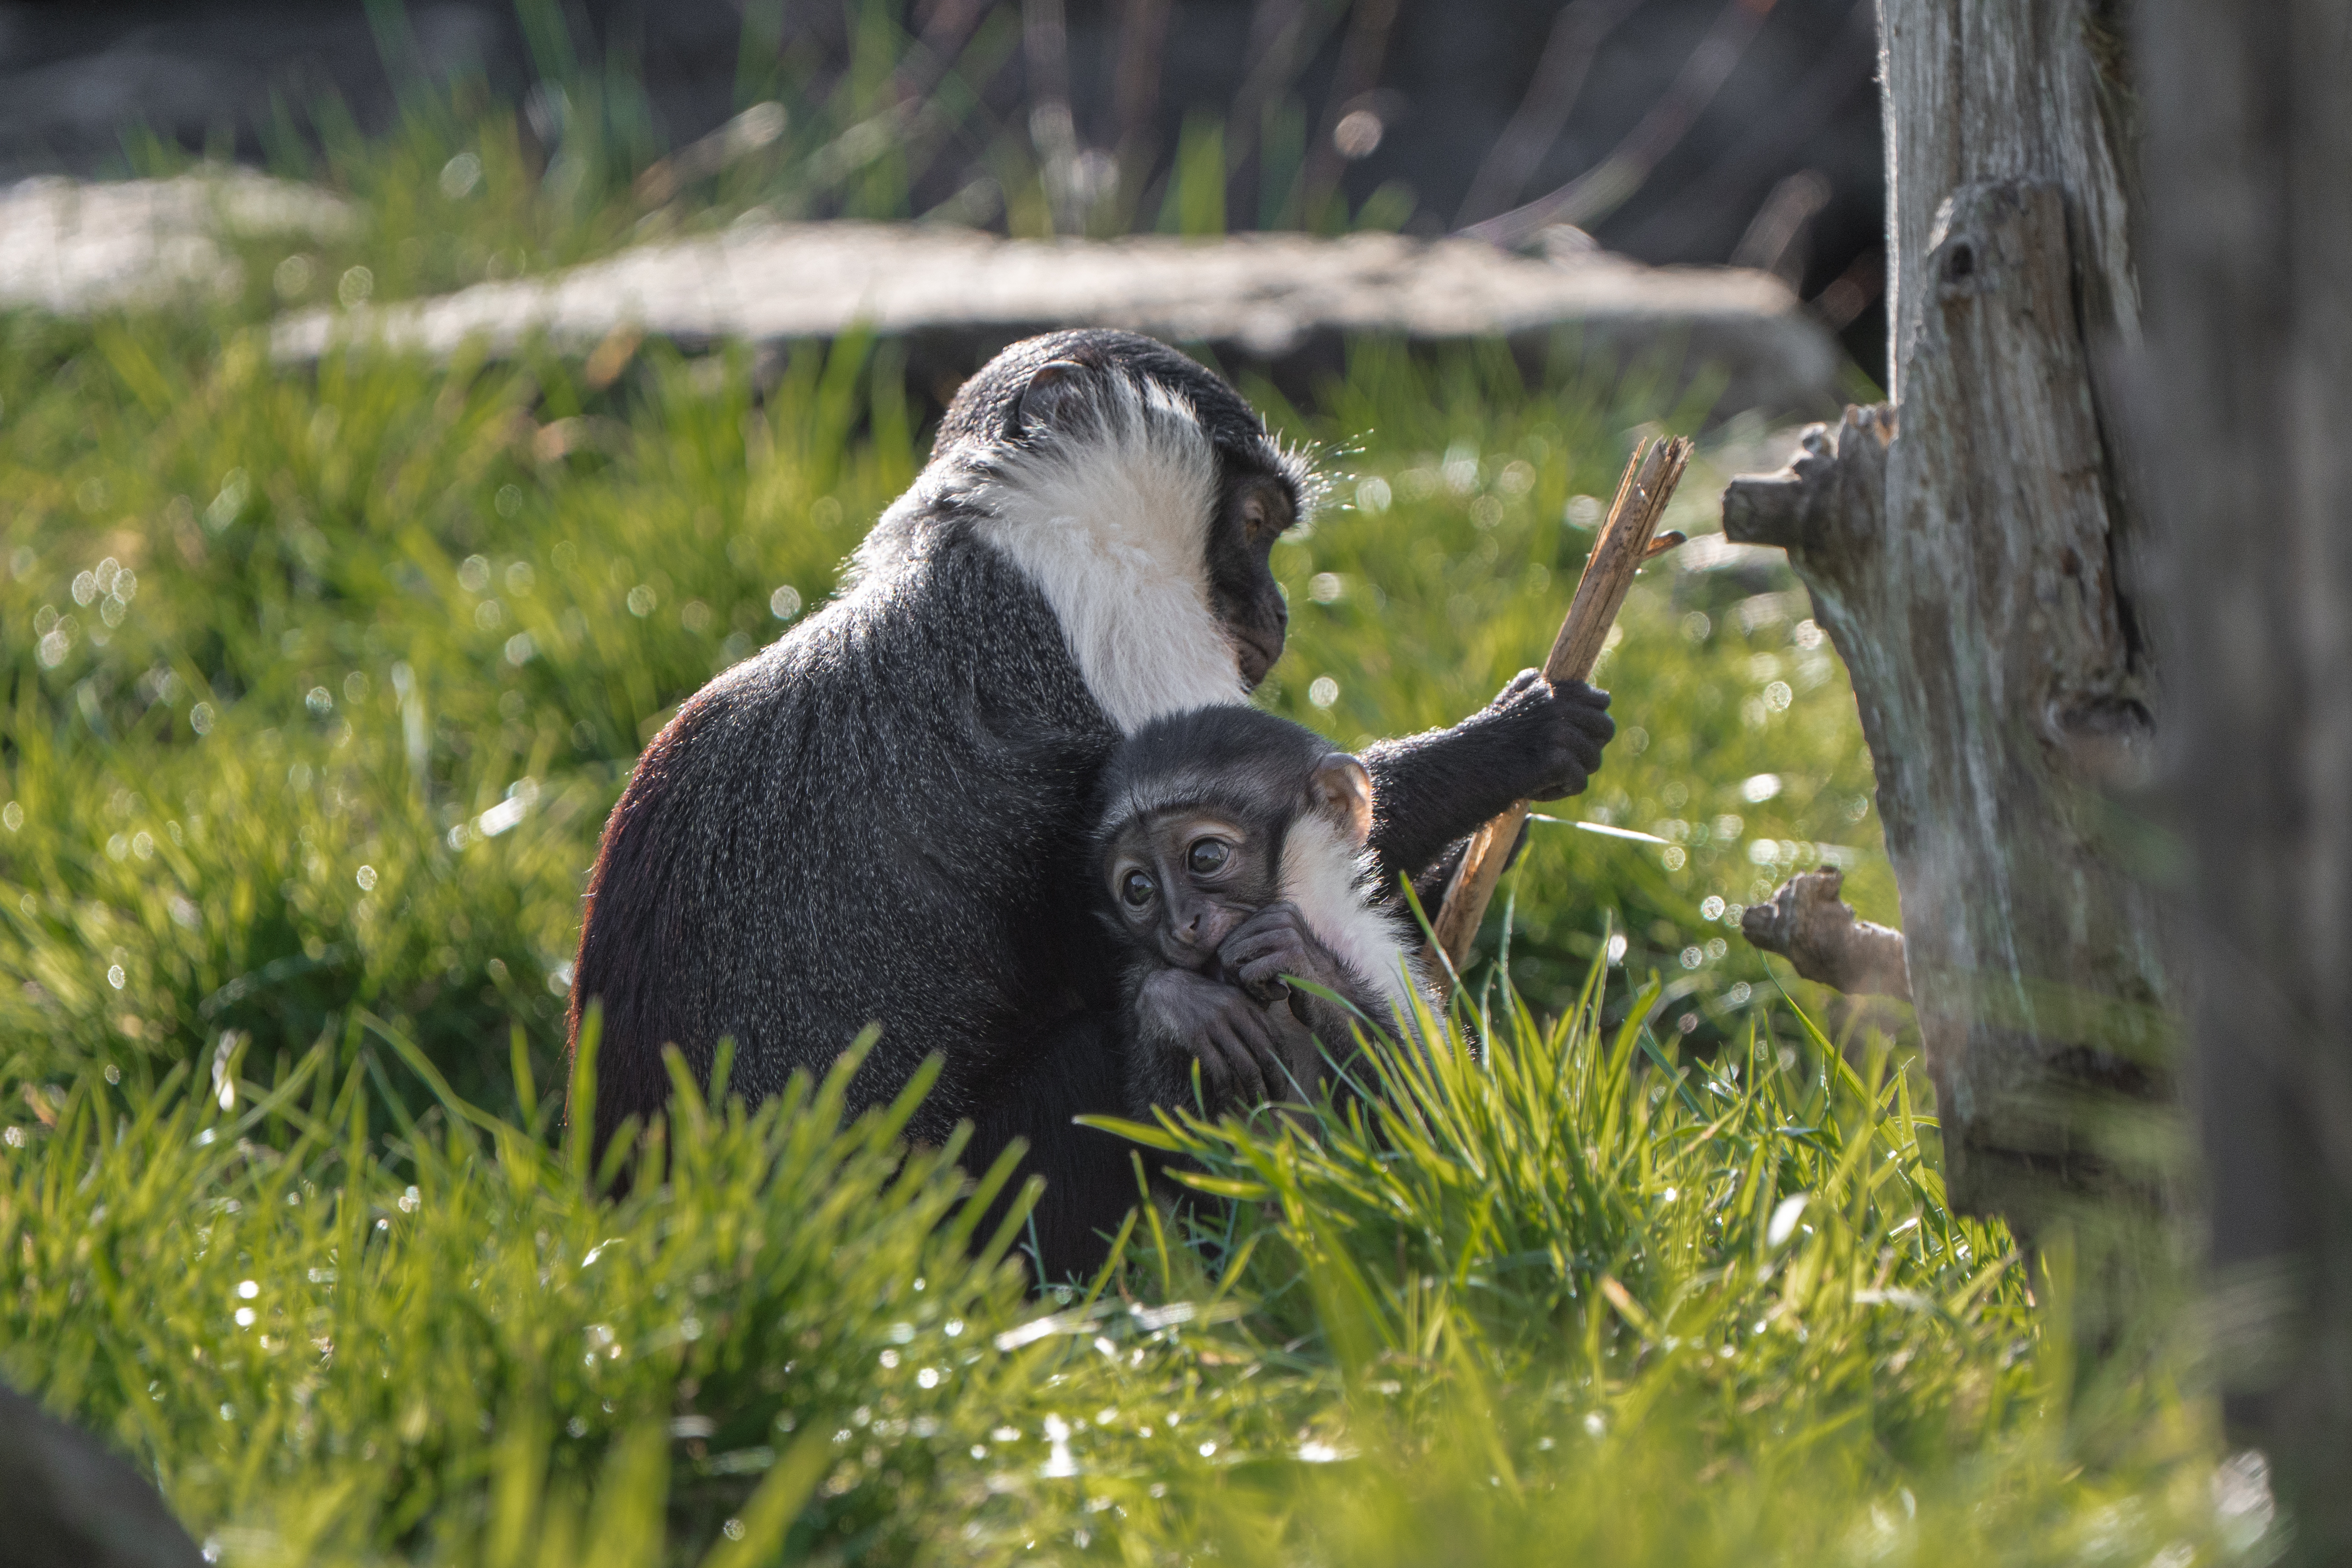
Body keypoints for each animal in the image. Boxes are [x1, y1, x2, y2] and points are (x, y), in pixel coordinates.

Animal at [1094, 705, 1435, 1127]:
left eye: (1205, 856)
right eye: (1138, 888)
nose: (1181, 926)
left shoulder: (1373, 950)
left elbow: (1425, 1122)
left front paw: (1306, 963)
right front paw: (1178, 1003)